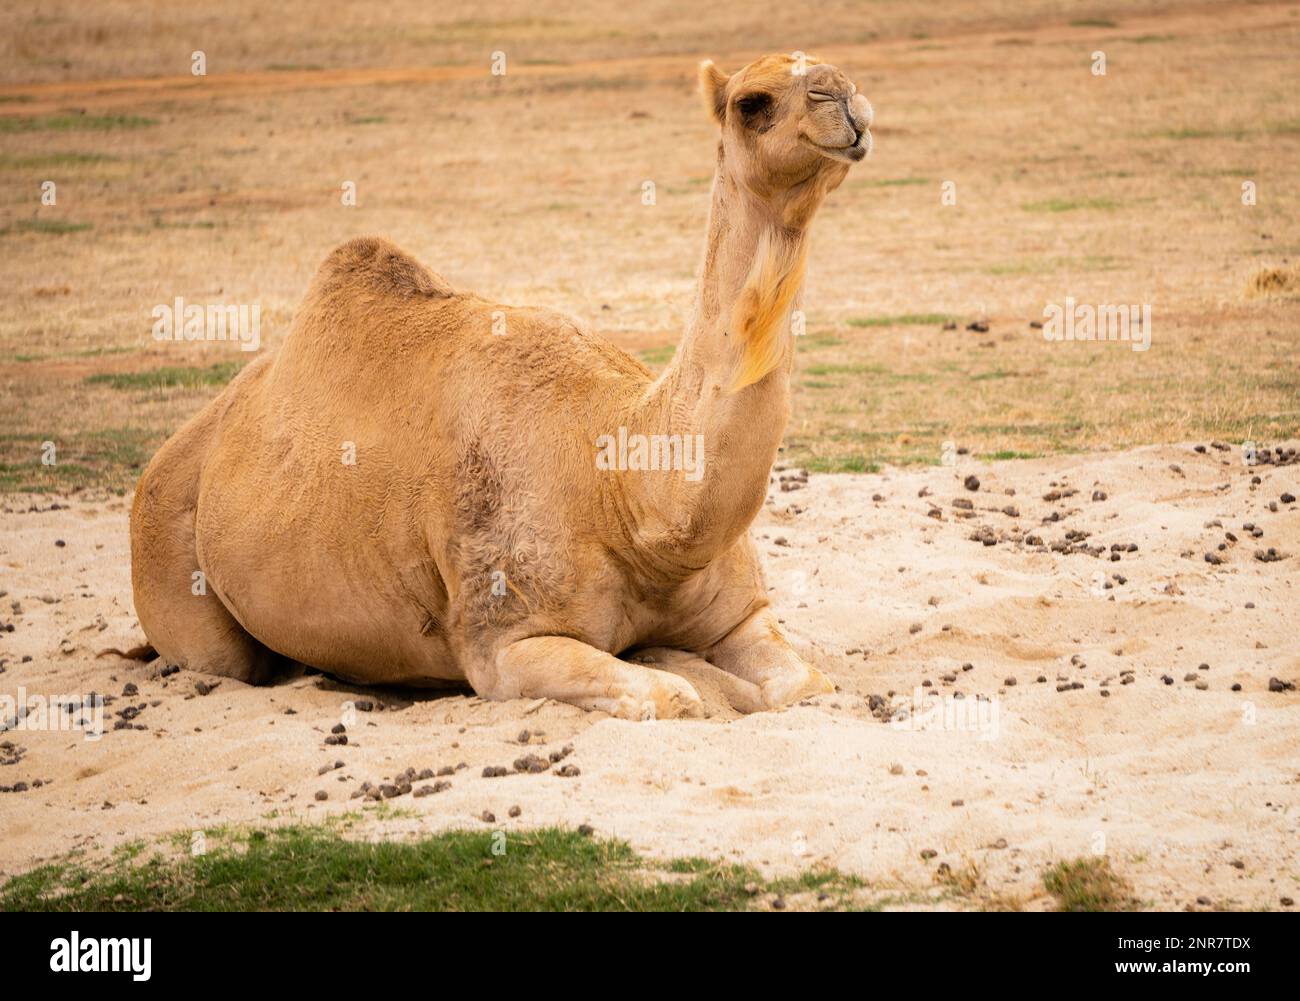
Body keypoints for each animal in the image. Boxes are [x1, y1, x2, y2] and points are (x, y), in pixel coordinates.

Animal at [128, 53, 873, 719]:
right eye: (752, 102)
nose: (843, 96)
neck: (625, 496)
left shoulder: (738, 613)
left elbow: (806, 684)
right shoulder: (503, 643)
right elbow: (674, 695)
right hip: (171, 561)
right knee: (222, 657)